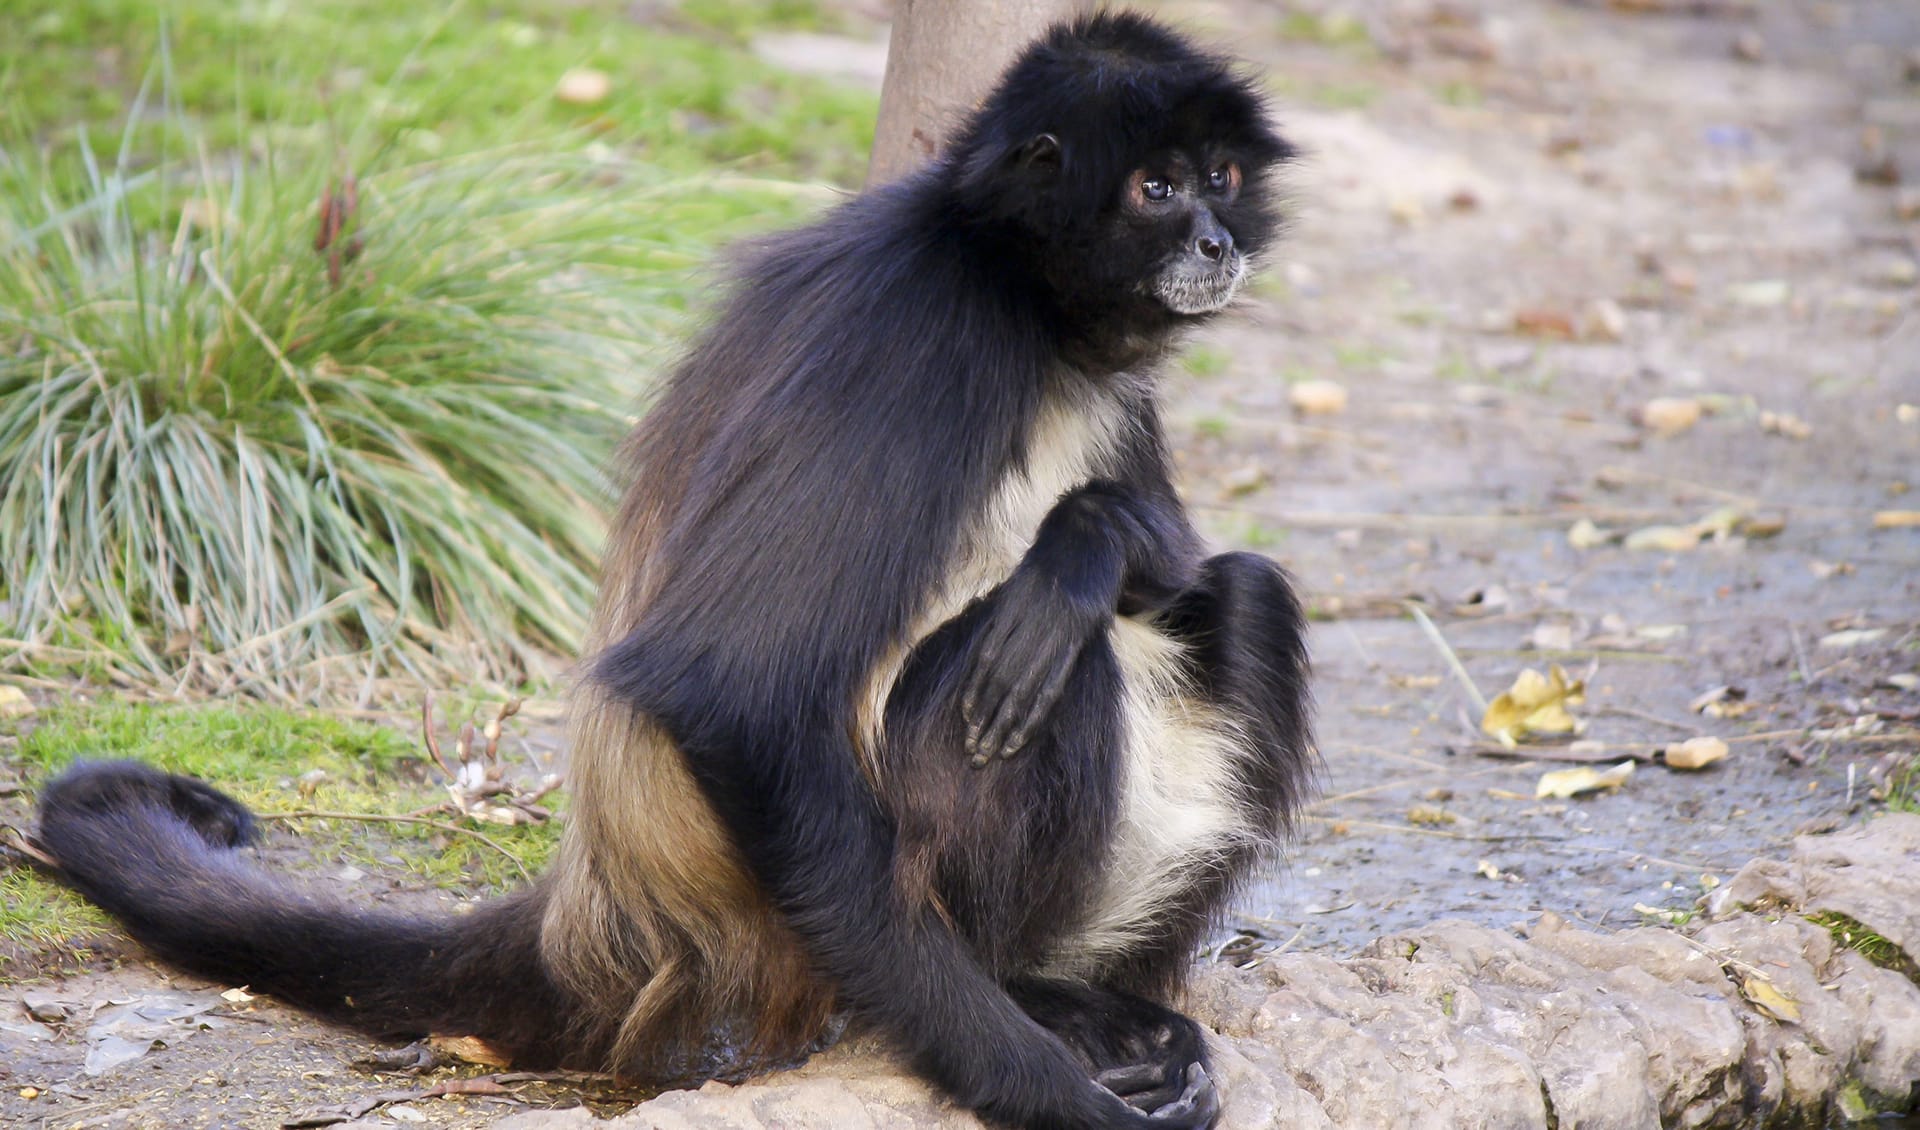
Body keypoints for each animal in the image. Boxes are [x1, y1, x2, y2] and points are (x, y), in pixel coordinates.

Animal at [33, 13, 1310, 1130]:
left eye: (1220, 179)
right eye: (1156, 189)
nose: (1217, 242)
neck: (1022, 301)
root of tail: (598, 914)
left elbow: (1164, 543)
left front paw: (1103, 533)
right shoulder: (920, 326)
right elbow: (728, 688)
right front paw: (1034, 1083)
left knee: (1238, 591)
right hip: (804, 937)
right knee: (1049, 649)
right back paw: (1026, 990)